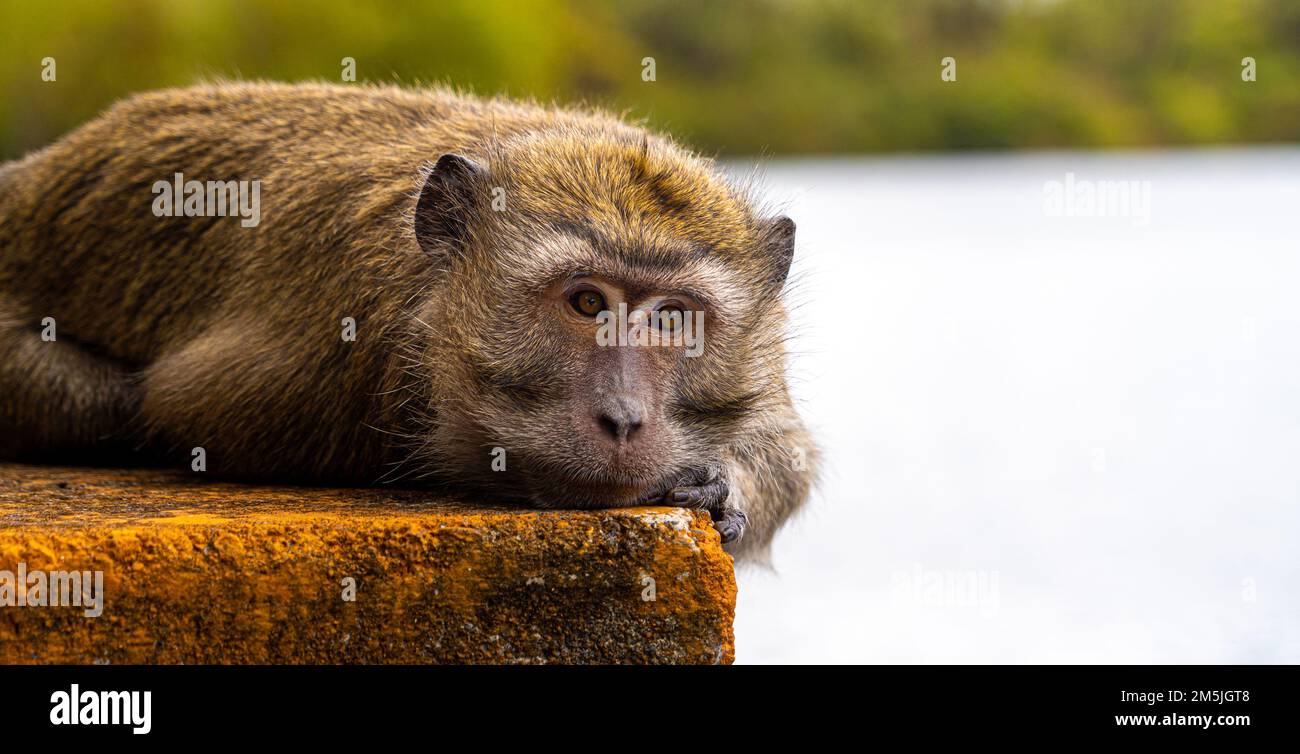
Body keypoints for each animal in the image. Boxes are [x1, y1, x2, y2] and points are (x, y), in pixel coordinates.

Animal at [0, 82, 816, 561]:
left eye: (673, 320)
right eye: (588, 303)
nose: (623, 417)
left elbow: (790, 453)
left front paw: (723, 484)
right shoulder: (327, 353)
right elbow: (178, 410)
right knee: (111, 405)